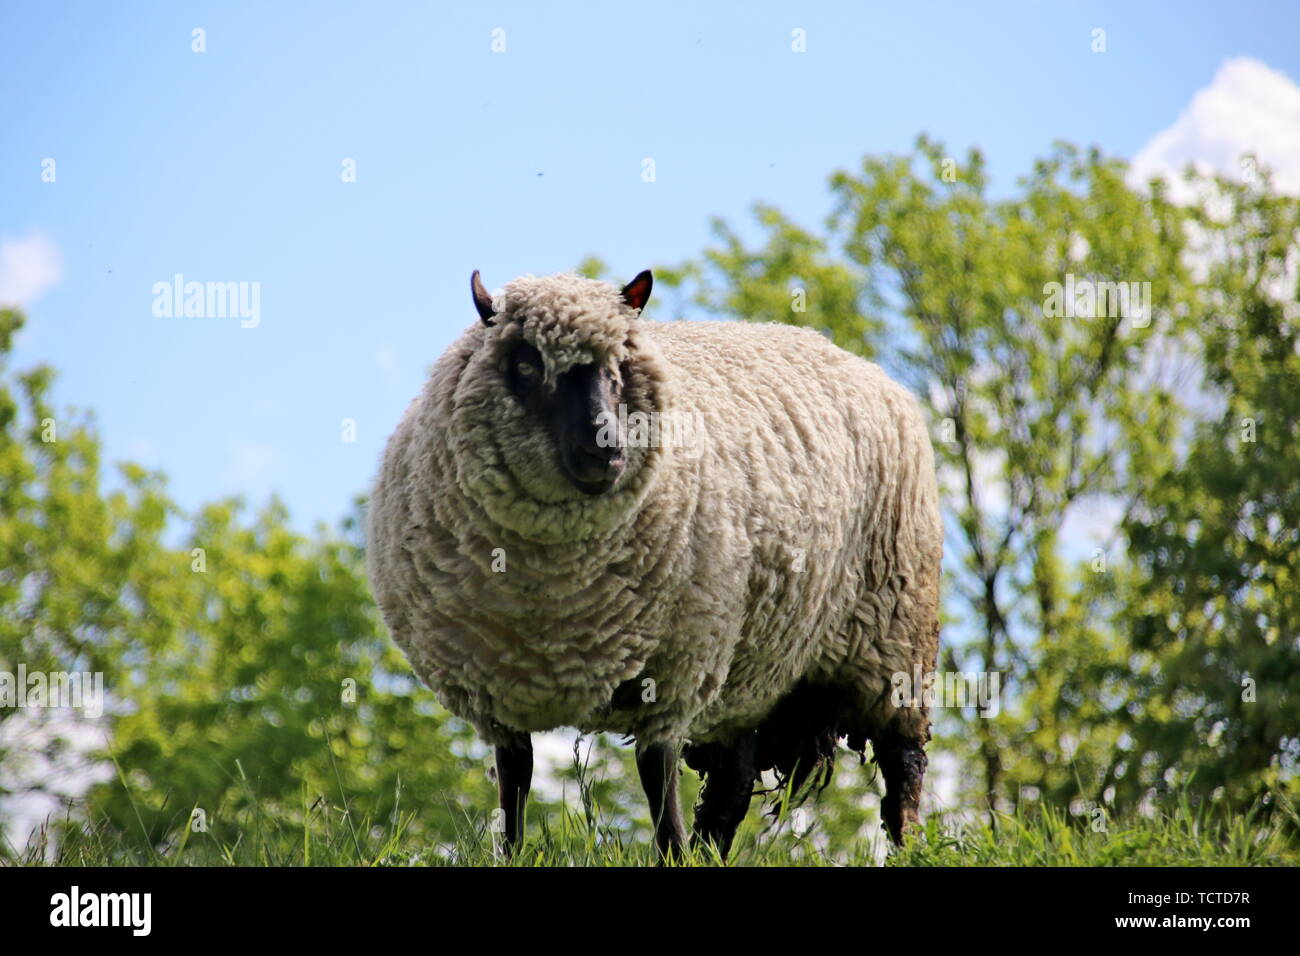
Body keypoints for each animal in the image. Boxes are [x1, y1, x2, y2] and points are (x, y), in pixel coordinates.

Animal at [366, 269, 942, 860]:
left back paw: (910, 847)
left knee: (903, 766)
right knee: (733, 783)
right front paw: (513, 855)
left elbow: (658, 784)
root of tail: (847, 354)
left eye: (619, 367)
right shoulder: (497, 697)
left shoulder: (674, 673)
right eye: (526, 366)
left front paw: (674, 855)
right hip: (747, 672)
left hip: (895, 633)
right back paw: (712, 851)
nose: (607, 451)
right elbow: (515, 787)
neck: (554, 600)